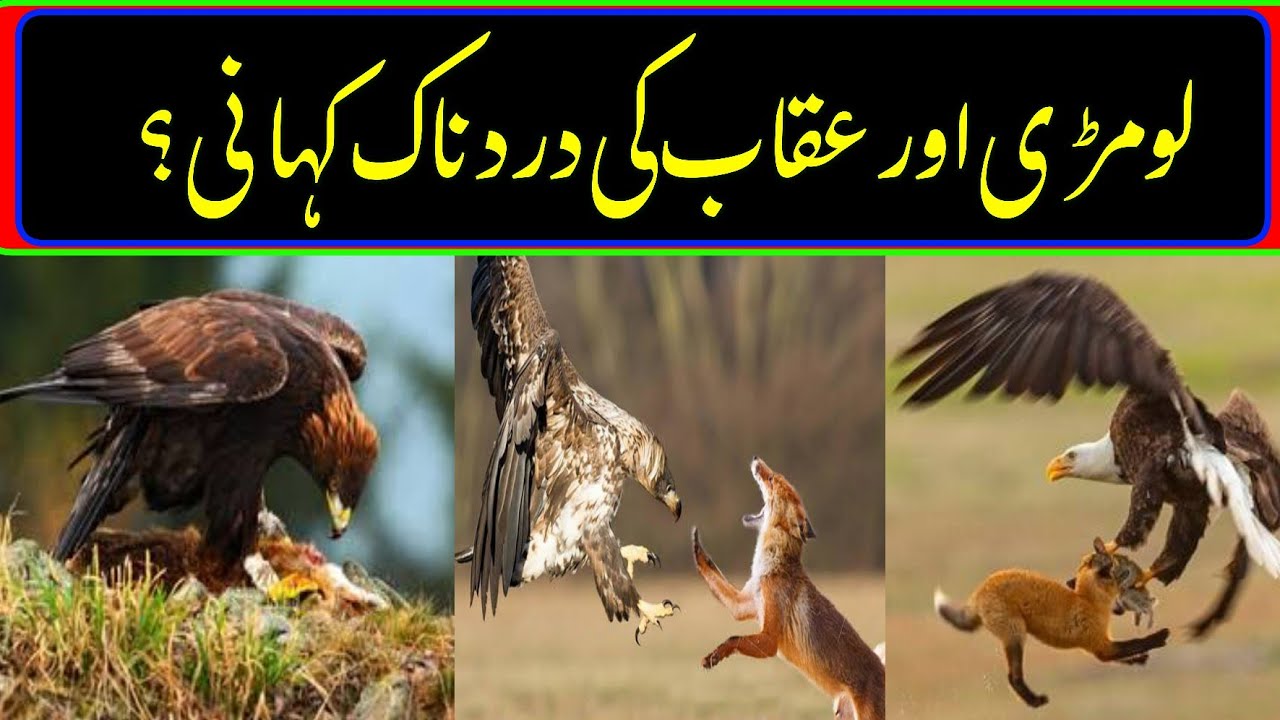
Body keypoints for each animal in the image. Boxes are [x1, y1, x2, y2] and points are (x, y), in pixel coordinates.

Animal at [692, 456, 885, 720]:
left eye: (772, 479)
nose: (756, 459)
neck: (772, 566)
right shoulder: (742, 605)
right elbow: (711, 572)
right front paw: (696, 546)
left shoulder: (770, 641)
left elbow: (734, 638)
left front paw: (713, 658)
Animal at [933, 537, 1171, 709]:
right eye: (1121, 582)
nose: (1121, 609)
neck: (1087, 601)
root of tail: (979, 591)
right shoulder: (1100, 647)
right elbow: (1135, 643)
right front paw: (1160, 636)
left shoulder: (1103, 644)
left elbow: (1126, 655)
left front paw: (1139, 660)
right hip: (1016, 635)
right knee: (1013, 677)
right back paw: (1034, 702)